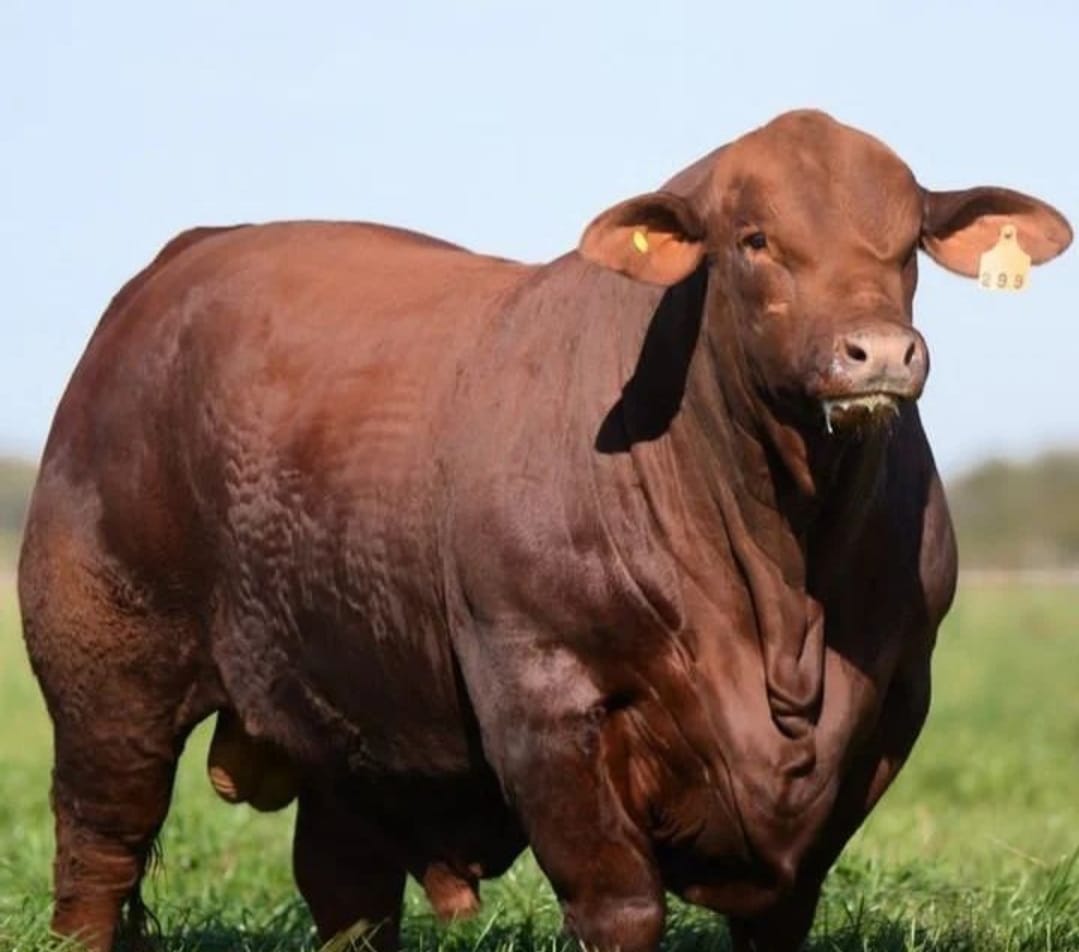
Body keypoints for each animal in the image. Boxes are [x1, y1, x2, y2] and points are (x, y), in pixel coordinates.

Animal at [18, 109, 1071, 952]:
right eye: (754, 239)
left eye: (906, 243)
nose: (878, 354)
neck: (783, 594)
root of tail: (184, 258)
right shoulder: (542, 696)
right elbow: (618, 904)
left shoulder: (888, 705)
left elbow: (781, 906)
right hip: (107, 674)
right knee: (97, 857)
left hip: (347, 714)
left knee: (346, 883)